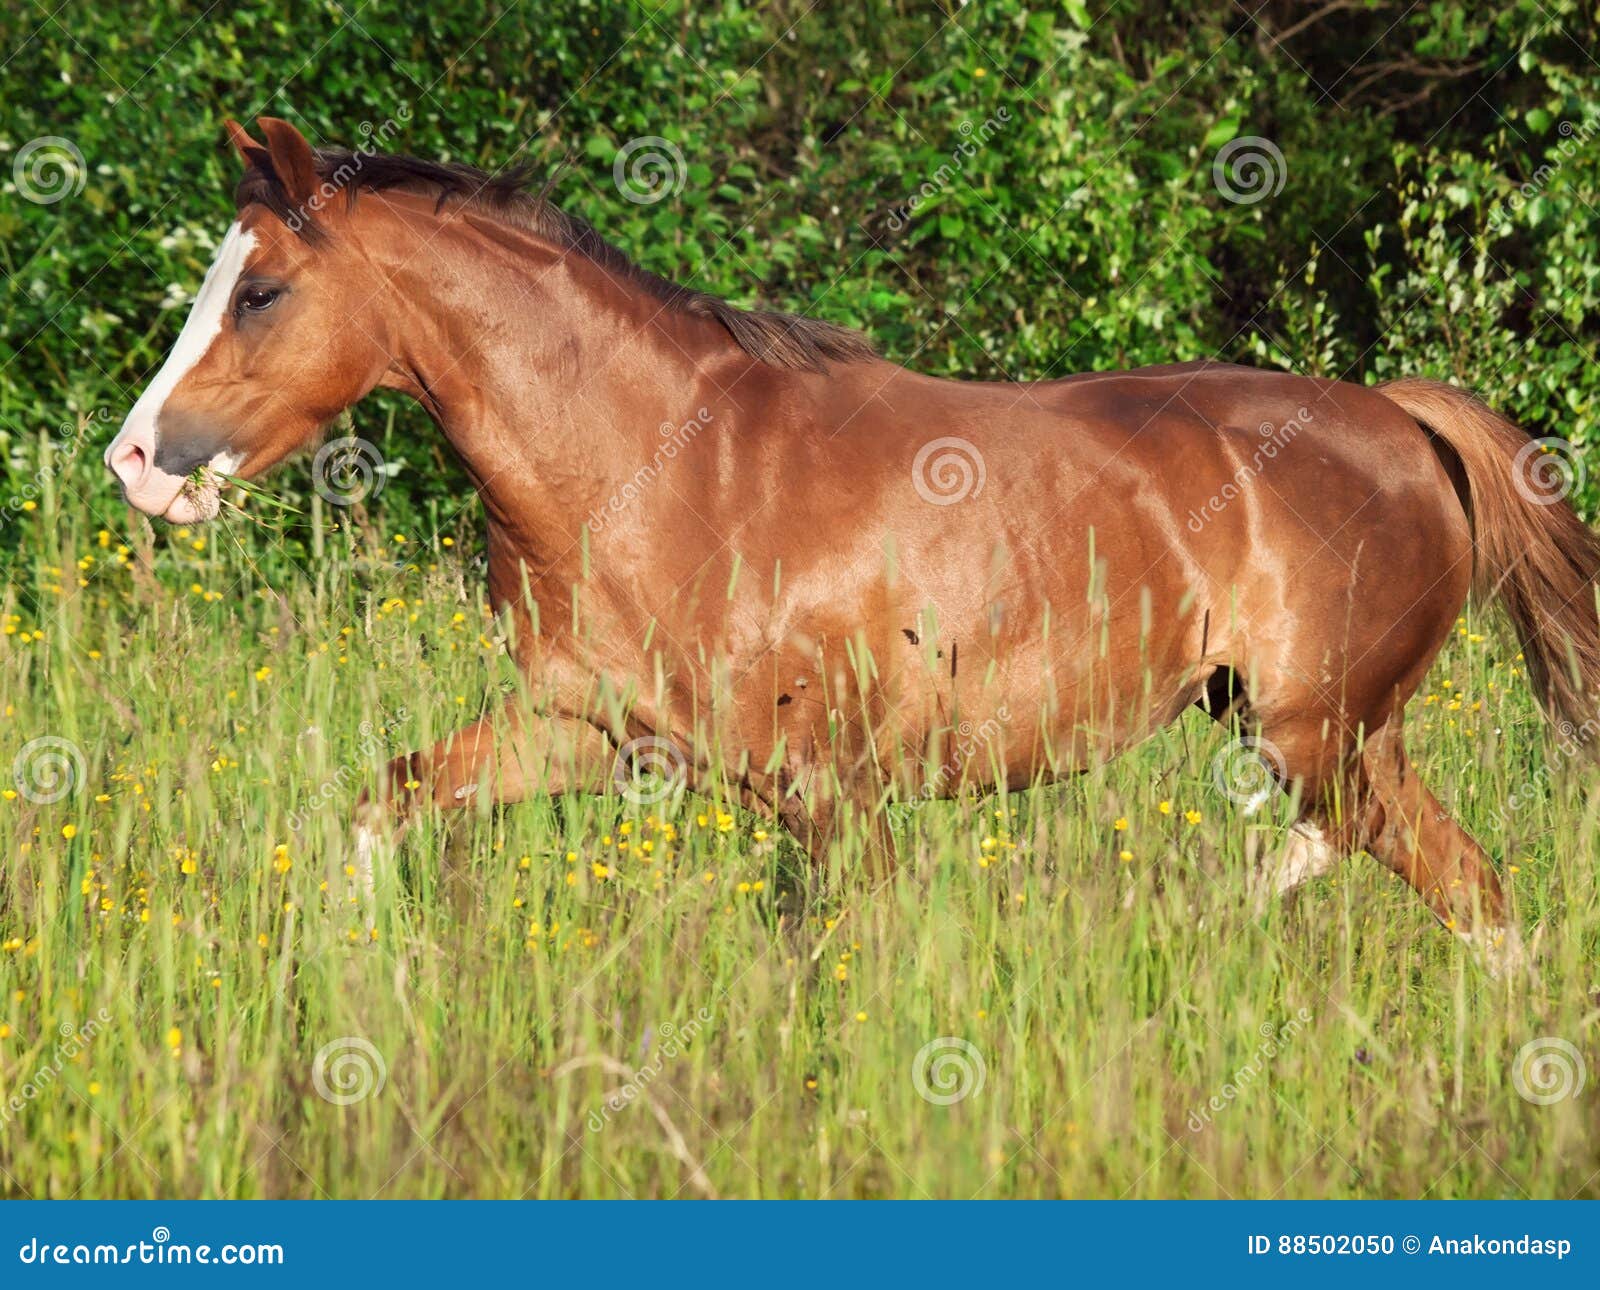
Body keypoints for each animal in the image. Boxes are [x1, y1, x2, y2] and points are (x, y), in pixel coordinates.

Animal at [105, 117, 1600, 973]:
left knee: (1429, 873)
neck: (655, 467)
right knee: (1424, 877)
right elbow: (385, 803)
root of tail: (1400, 419)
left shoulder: (829, 793)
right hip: (1302, 729)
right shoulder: (586, 733)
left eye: (262, 290)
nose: (137, 461)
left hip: (1322, 728)